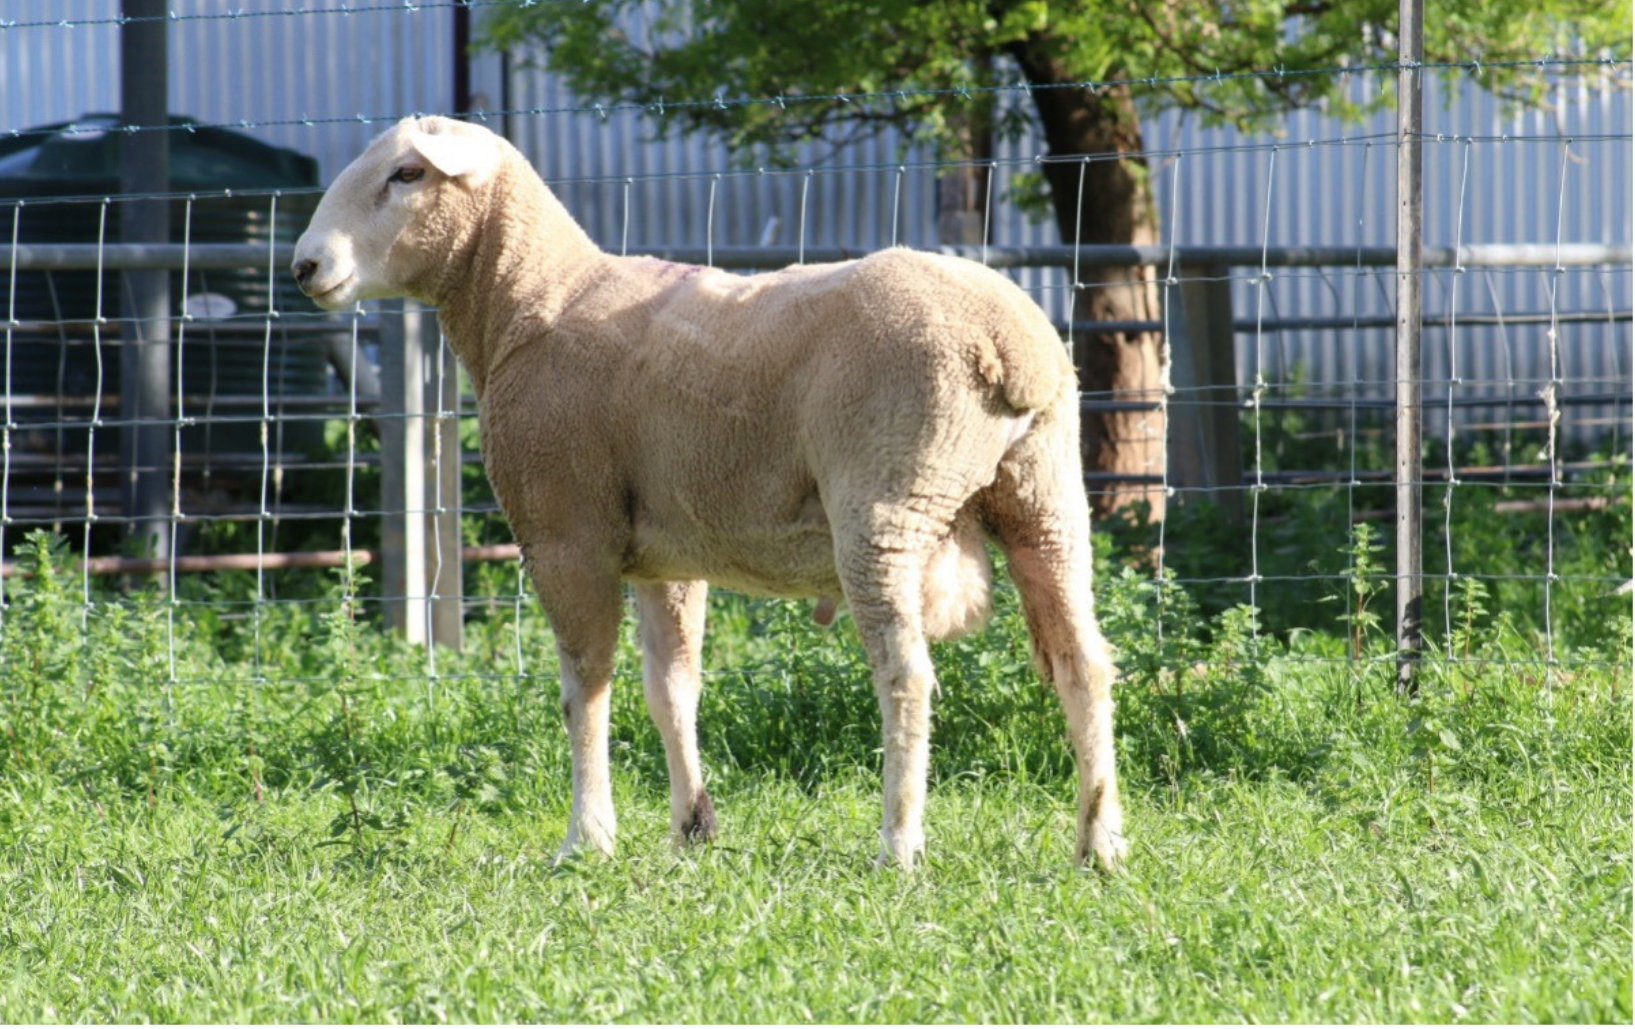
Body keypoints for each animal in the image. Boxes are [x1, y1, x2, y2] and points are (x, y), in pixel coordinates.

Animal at [291, 115, 1126, 871]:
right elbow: (672, 687)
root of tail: (1009, 347)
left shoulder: (567, 534)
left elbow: (584, 690)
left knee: (907, 674)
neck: (526, 300)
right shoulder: (667, 552)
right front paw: (691, 826)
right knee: (1083, 661)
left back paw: (898, 843)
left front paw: (586, 838)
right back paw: (1100, 842)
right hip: (1045, 494)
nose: (305, 265)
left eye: (408, 173)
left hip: (885, 501)